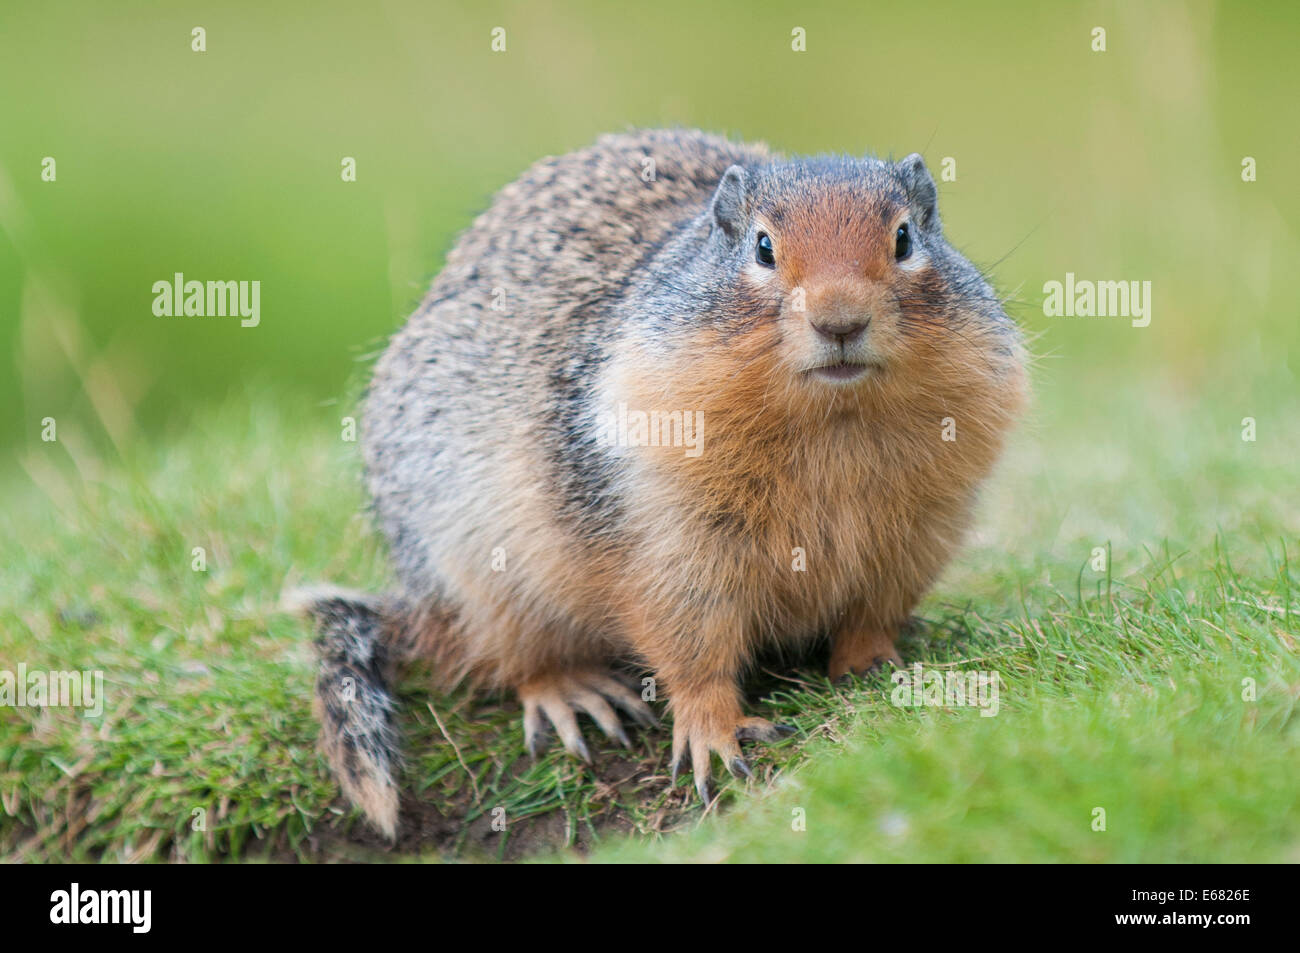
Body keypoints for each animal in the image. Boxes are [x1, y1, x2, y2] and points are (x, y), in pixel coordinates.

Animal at [291, 129, 1027, 839]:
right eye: (763, 247)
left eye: (904, 238)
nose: (839, 319)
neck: (834, 422)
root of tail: (418, 604)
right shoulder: (669, 531)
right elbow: (690, 639)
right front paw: (715, 737)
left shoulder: (924, 523)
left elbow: (875, 608)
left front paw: (880, 667)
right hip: (478, 568)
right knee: (509, 656)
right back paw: (574, 693)